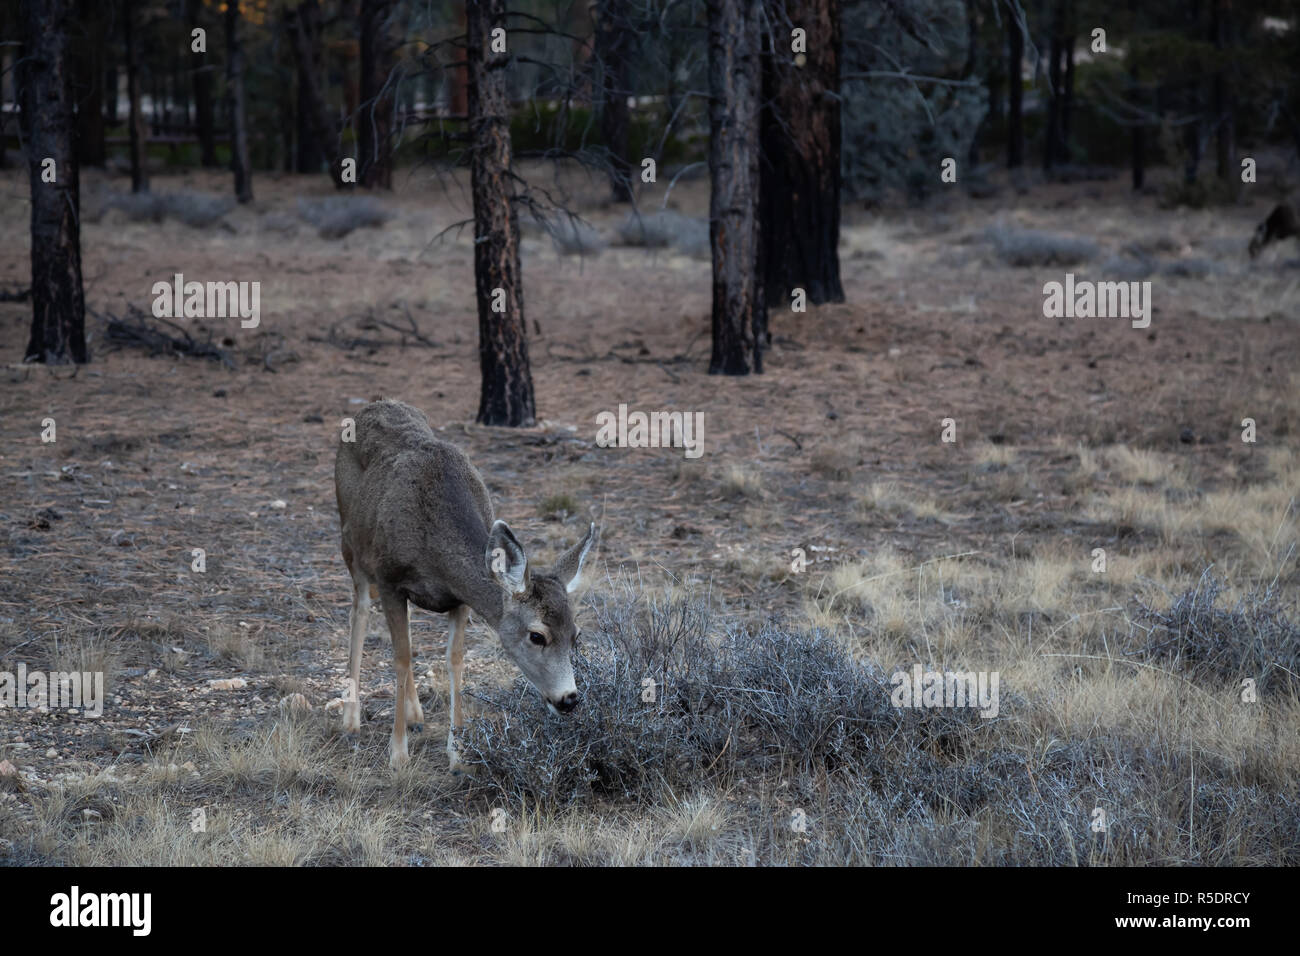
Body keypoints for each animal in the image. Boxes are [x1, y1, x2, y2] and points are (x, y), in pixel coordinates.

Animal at [334, 399, 596, 771]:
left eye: (576, 635)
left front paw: (457, 755)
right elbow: (400, 656)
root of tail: (374, 404)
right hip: (351, 544)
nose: (569, 699)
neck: (434, 548)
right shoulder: (389, 578)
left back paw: (415, 716)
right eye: (537, 636)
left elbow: (454, 659)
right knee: (359, 611)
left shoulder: (458, 598)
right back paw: (351, 720)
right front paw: (397, 754)